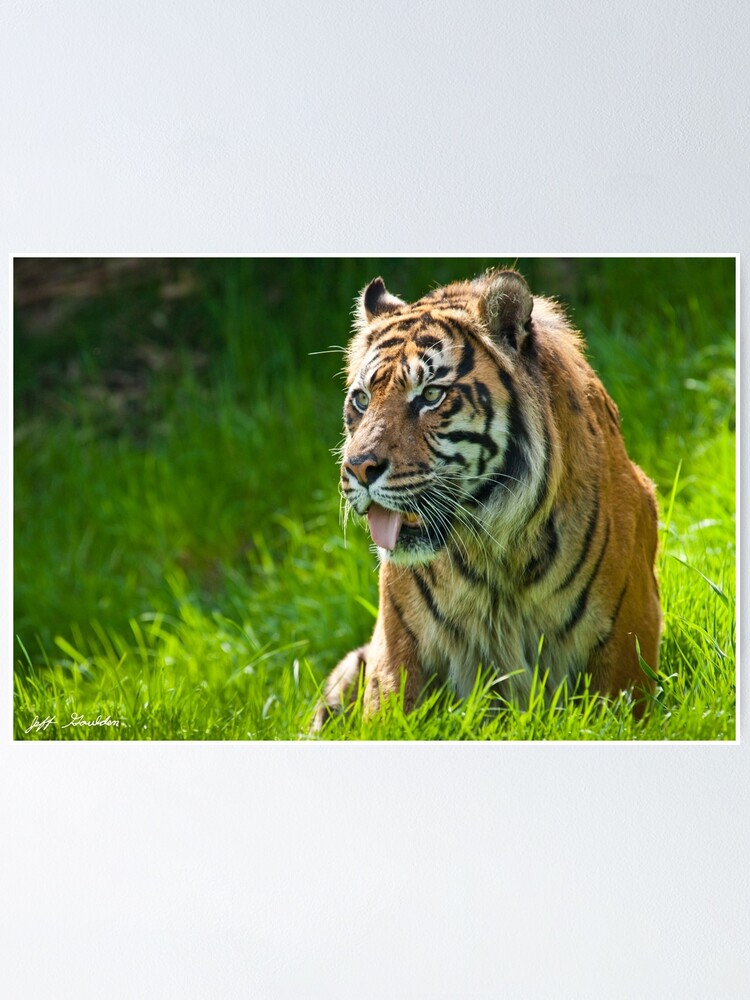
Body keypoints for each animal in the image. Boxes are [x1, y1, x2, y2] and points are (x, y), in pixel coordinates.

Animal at [311, 268, 662, 731]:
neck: (494, 550)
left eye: (430, 395)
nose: (358, 467)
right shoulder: (395, 648)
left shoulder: (626, 634)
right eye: (362, 399)